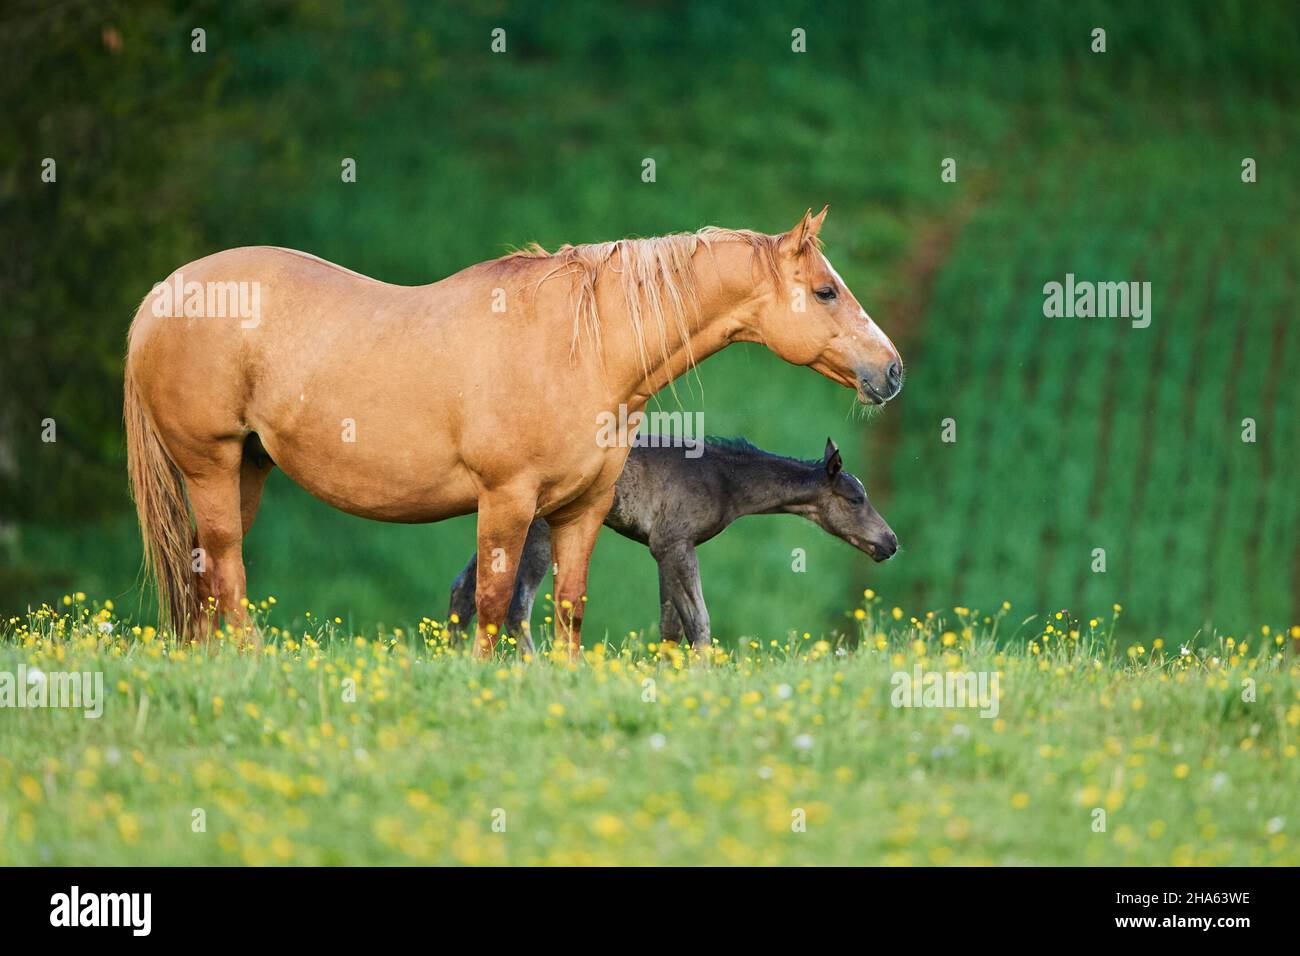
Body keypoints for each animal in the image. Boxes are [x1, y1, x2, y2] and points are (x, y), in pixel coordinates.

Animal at [447, 436, 897, 650]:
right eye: (855, 499)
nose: (890, 542)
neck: (724, 480)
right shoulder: (673, 542)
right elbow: (699, 623)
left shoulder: (668, 547)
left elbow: (670, 627)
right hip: (537, 532)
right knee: (516, 606)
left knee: (464, 589)